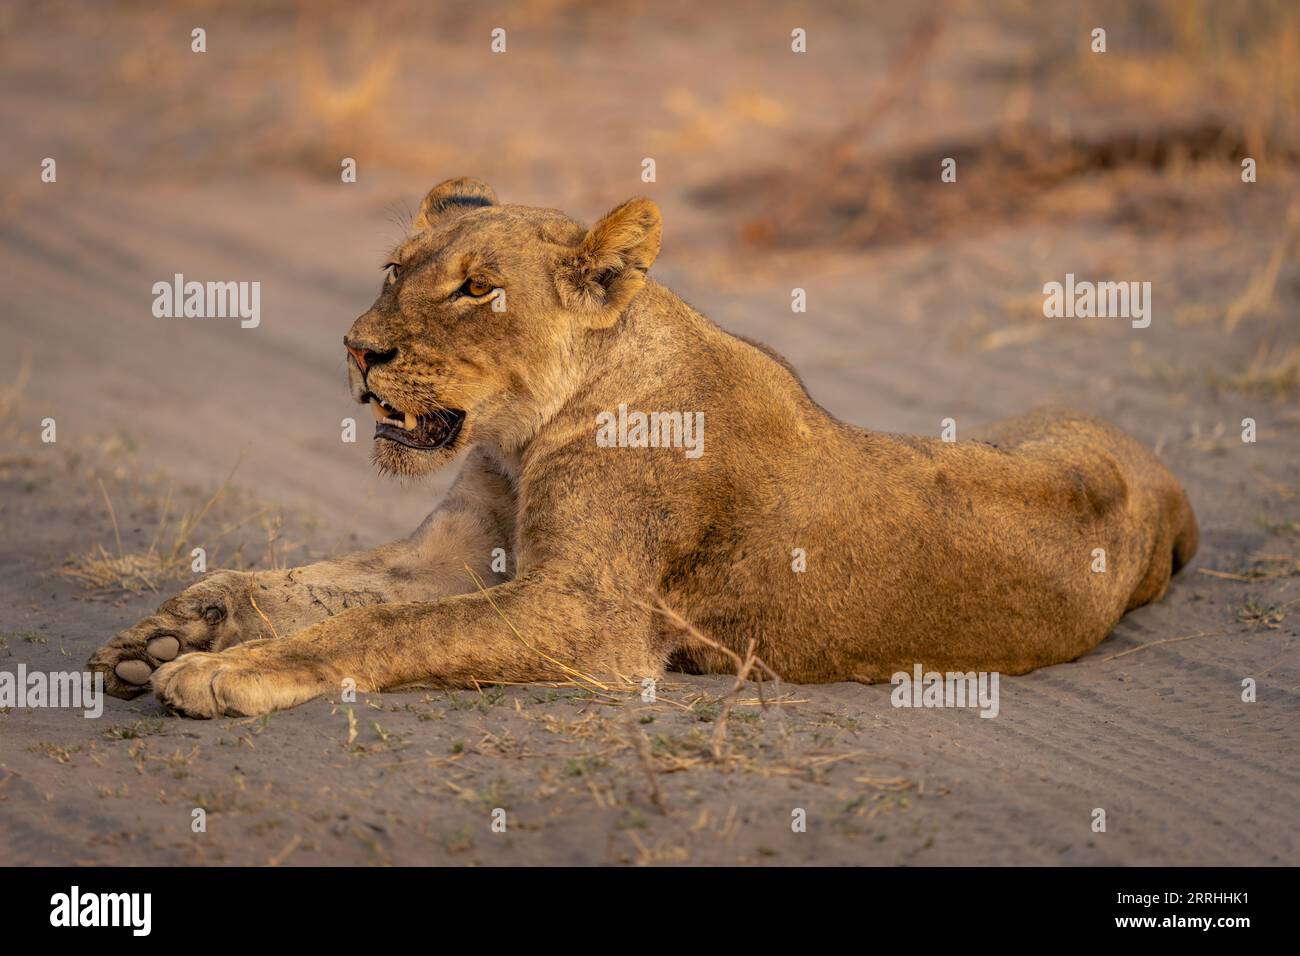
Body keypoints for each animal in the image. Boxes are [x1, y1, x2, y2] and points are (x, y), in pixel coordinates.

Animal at [89, 176, 1199, 718]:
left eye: (478, 288)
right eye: (396, 269)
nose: (360, 350)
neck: (520, 437)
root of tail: (1161, 474)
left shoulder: (585, 616)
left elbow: (377, 629)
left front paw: (220, 673)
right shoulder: (456, 556)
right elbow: (299, 584)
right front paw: (166, 638)